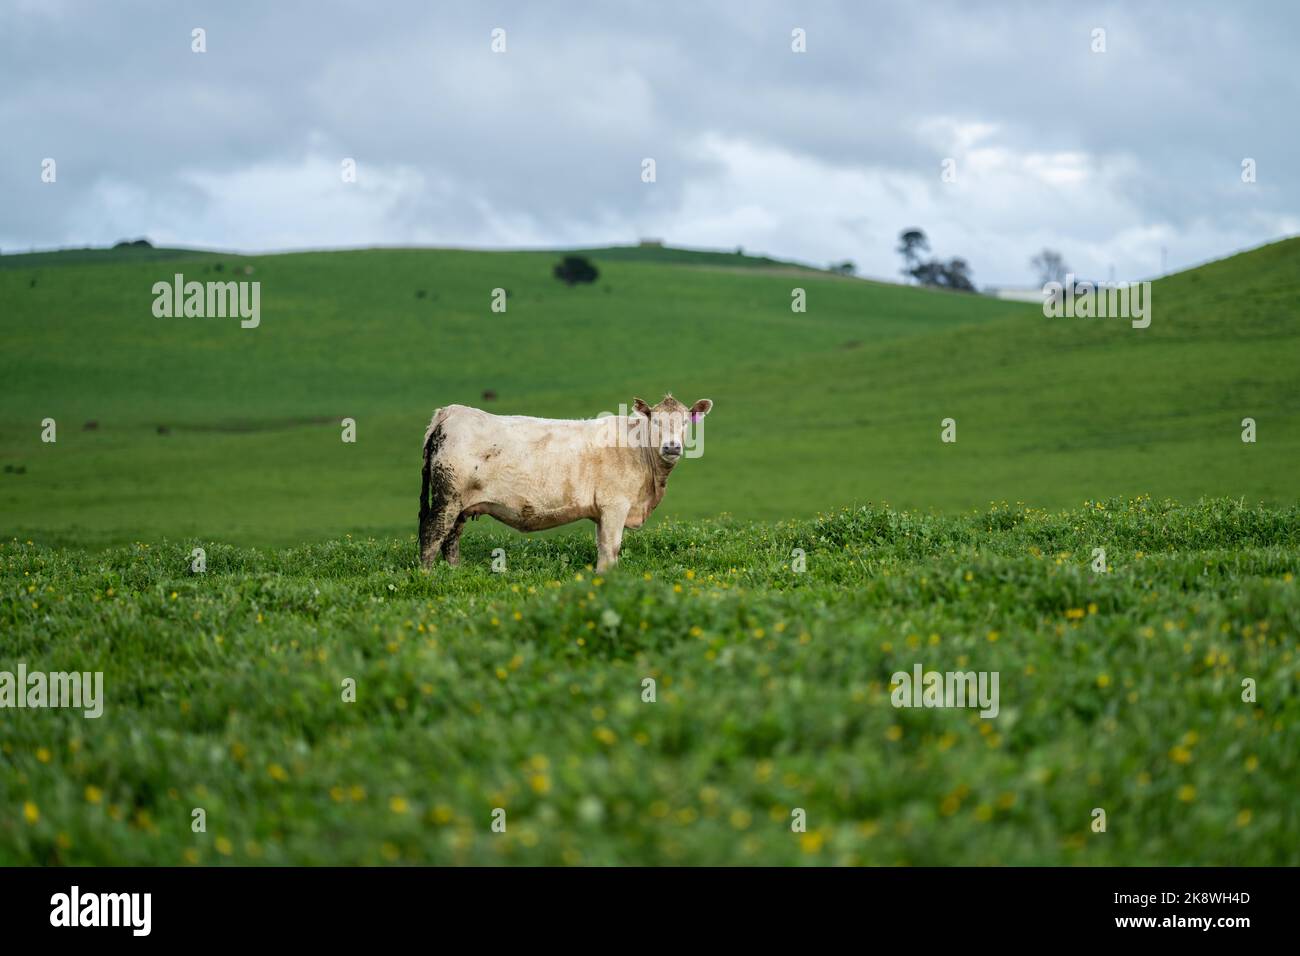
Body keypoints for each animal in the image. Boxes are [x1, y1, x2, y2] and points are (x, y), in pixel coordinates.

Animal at [419, 394, 713, 571]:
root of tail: (452, 411)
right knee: (433, 535)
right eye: (656, 422)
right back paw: (428, 575)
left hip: (461, 504)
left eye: (685, 422)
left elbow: (603, 546)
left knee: (451, 540)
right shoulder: (615, 505)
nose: (672, 446)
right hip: (448, 498)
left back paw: (454, 572)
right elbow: (611, 547)